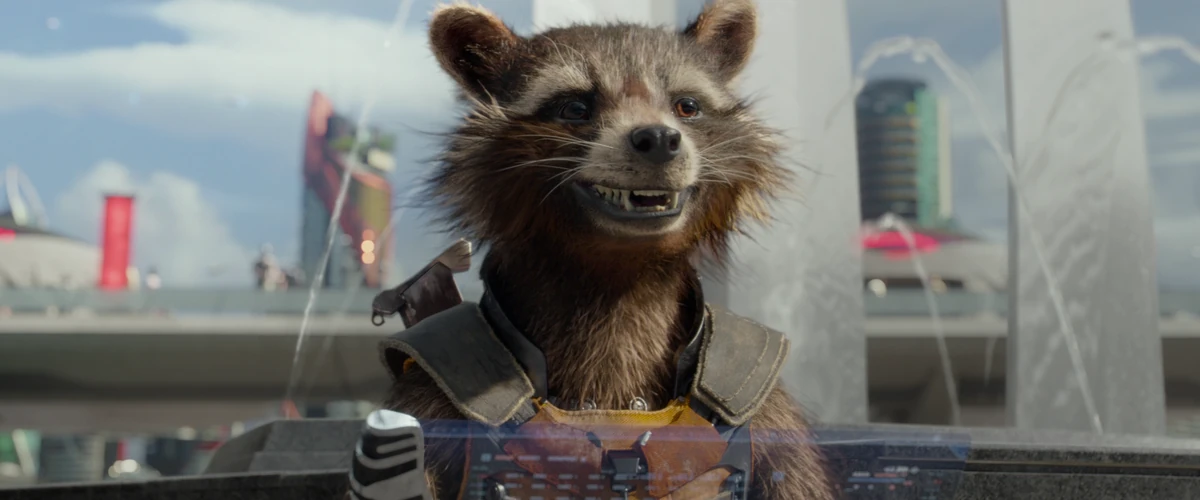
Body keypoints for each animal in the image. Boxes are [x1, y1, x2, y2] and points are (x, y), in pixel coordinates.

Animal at [374, 1, 835, 498]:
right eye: (575, 106)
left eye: (686, 106)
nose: (659, 139)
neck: (618, 269)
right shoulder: (428, 395)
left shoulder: (765, 407)